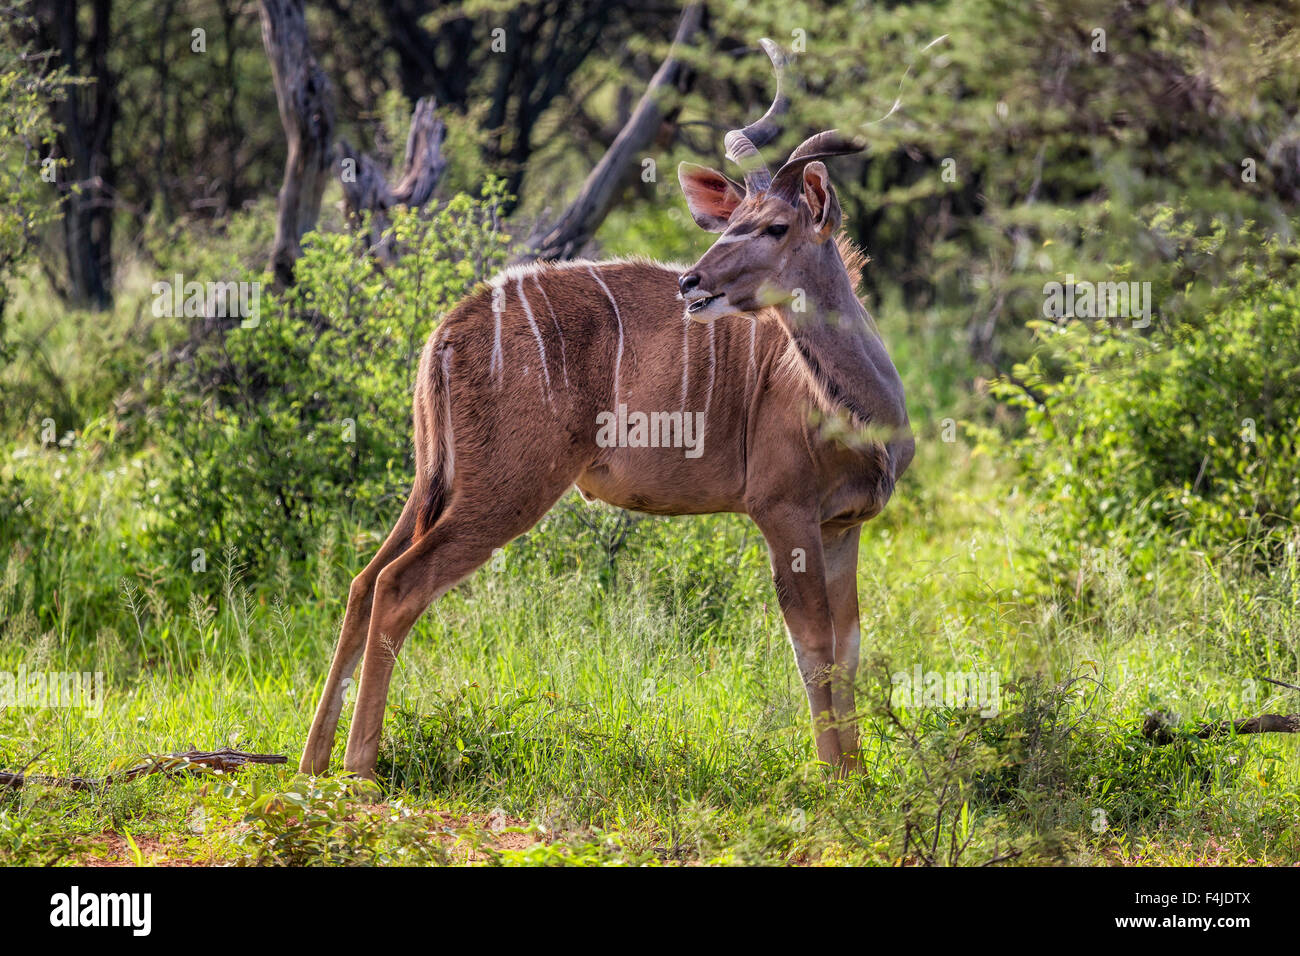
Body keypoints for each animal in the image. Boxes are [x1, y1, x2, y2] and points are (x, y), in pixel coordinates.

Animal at [300, 40, 914, 779]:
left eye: (775, 225)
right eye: (733, 224)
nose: (693, 282)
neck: (859, 413)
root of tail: (448, 328)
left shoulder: (842, 526)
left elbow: (847, 648)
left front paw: (859, 775)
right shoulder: (782, 512)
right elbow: (814, 648)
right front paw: (834, 780)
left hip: (432, 484)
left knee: (363, 583)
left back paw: (311, 763)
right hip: (506, 490)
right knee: (398, 586)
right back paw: (359, 770)